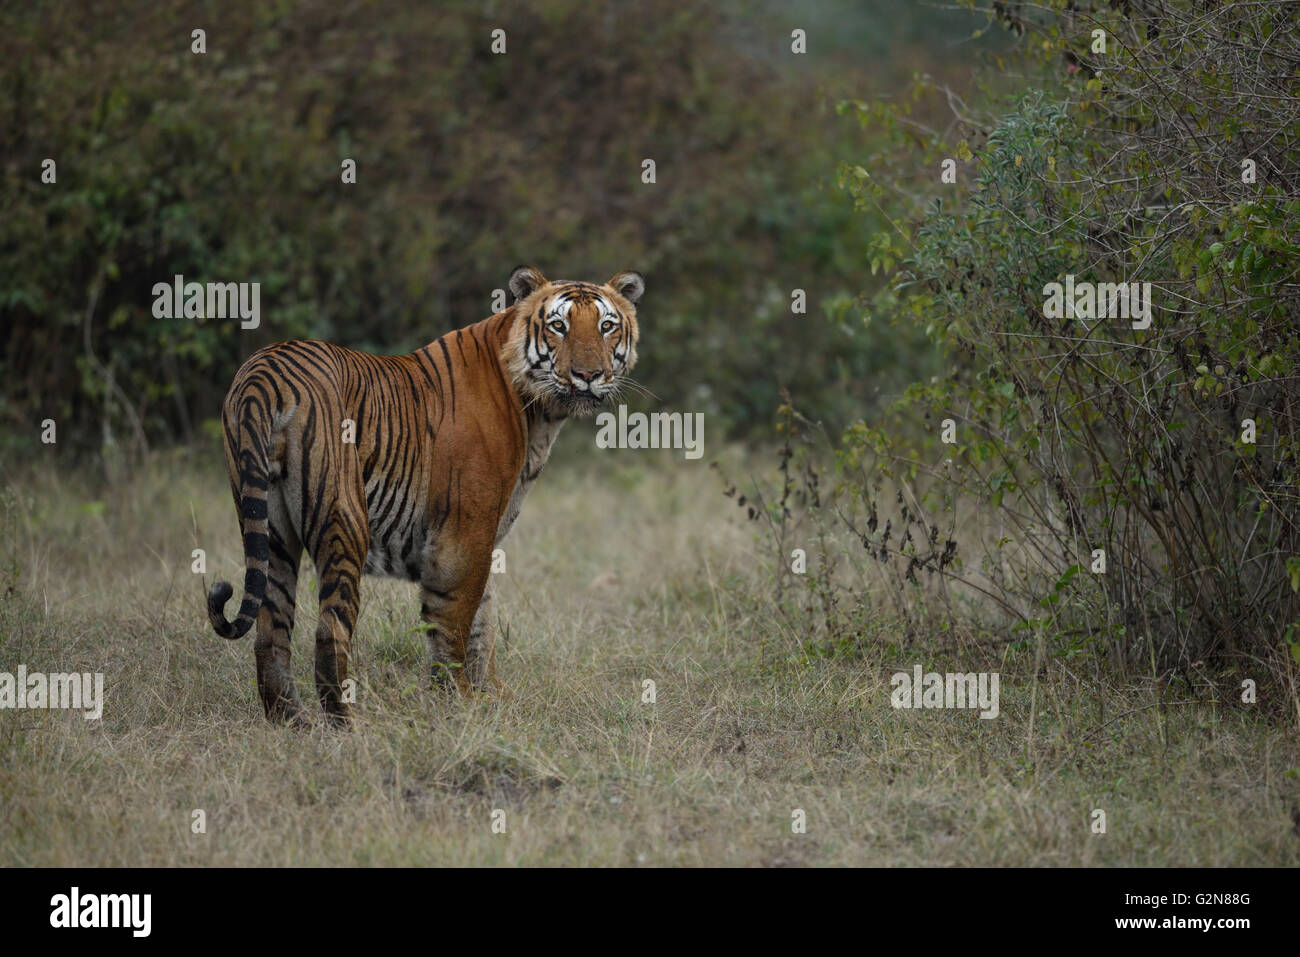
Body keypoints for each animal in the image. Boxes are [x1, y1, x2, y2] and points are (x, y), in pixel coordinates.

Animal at [206, 265, 644, 723]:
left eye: (606, 326)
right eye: (559, 326)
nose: (588, 375)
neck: (539, 414)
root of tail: (263, 371)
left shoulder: (485, 536)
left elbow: (483, 620)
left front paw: (490, 696)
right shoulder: (464, 533)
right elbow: (455, 620)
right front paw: (459, 702)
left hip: (273, 529)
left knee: (271, 630)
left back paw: (291, 722)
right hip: (344, 516)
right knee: (329, 631)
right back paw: (347, 725)